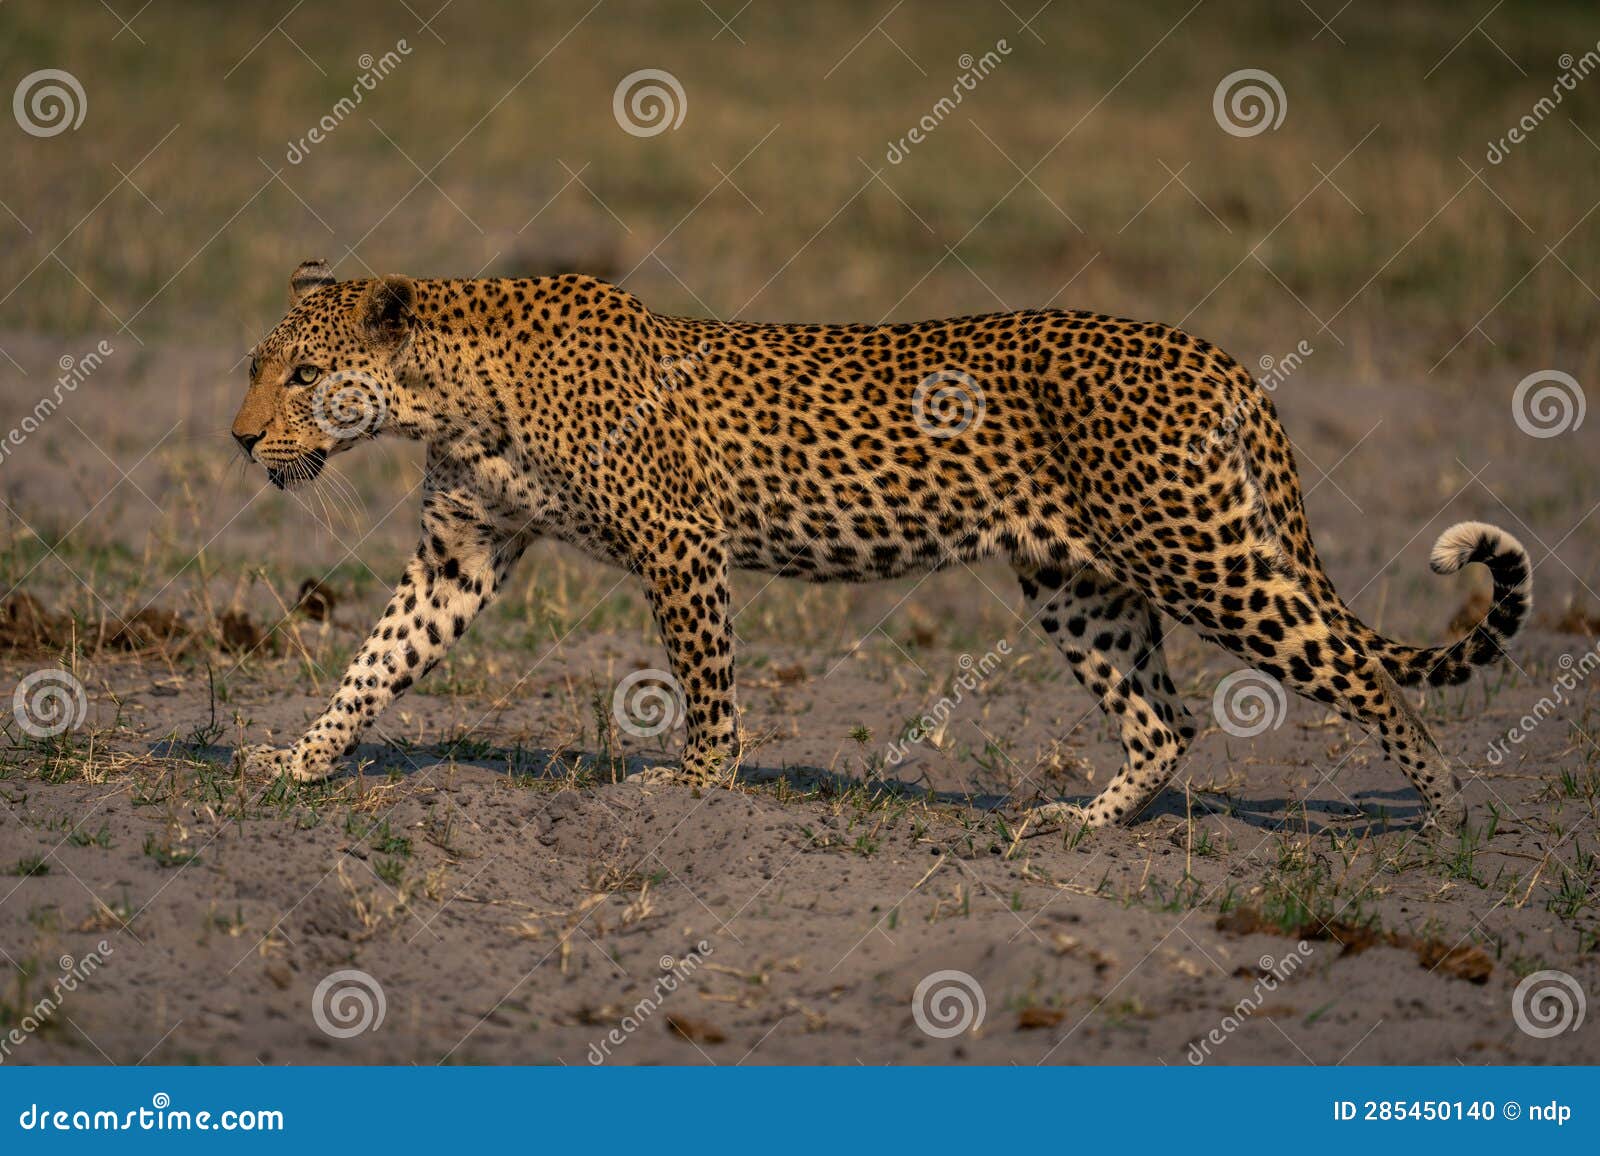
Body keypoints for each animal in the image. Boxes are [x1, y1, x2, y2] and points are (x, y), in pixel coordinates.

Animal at [232, 258, 1531, 832]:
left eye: (302, 374)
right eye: (257, 364)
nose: (241, 439)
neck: (444, 395)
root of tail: (1220, 359)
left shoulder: (679, 543)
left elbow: (707, 685)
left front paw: (698, 789)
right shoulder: (463, 552)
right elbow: (377, 661)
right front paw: (298, 762)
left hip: (1202, 554)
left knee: (1357, 669)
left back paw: (1447, 813)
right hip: (1076, 581)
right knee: (1167, 717)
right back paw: (1082, 827)